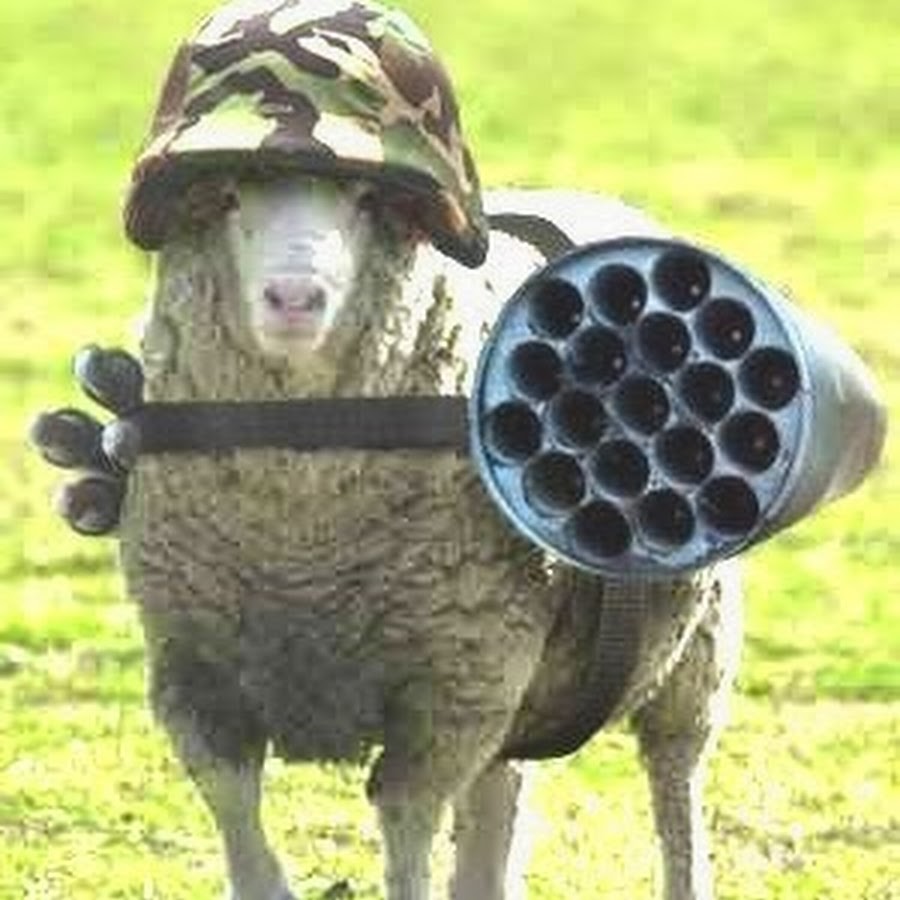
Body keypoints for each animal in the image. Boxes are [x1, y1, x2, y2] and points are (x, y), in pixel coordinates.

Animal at [108, 168, 743, 900]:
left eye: (363, 203)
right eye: (230, 200)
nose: (295, 298)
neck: (302, 544)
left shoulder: (454, 688)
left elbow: (406, 822)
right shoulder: (193, 666)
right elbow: (232, 801)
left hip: (693, 654)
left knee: (675, 780)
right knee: (500, 791)